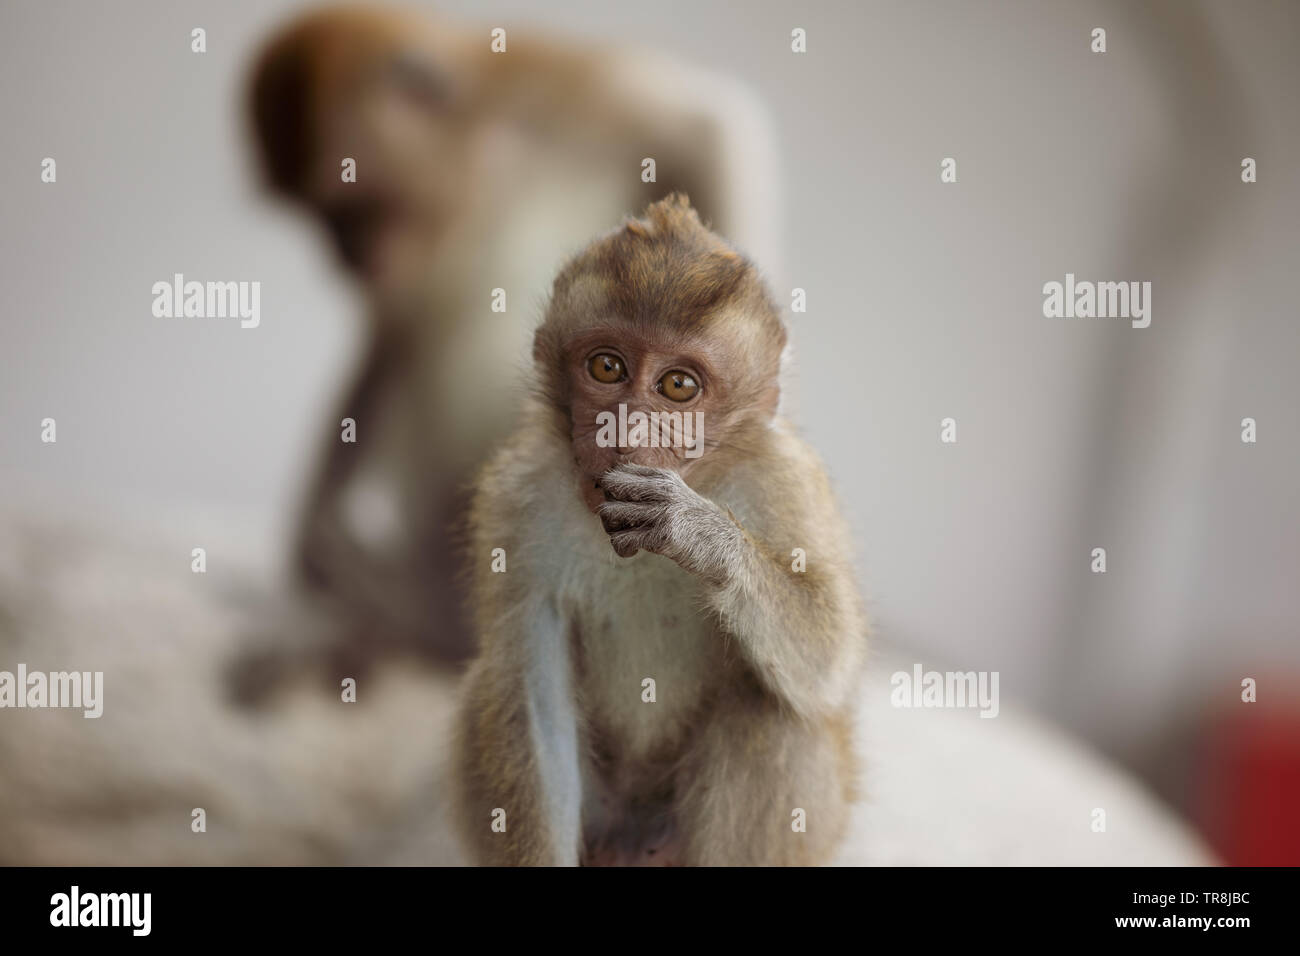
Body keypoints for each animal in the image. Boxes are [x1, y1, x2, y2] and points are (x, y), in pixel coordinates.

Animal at [236, 5, 780, 691]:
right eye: (322, 221)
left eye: (353, 209)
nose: (345, 256)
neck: (480, 164)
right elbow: (397, 329)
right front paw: (314, 549)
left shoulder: (565, 91)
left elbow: (705, 130)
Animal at [453, 195, 866, 866]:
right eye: (607, 367)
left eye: (678, 386)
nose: (627, 427)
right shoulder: (517, 495)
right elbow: (531, 689)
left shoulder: (786, 480)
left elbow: (831, 654)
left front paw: (699, 532)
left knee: (774, 711)